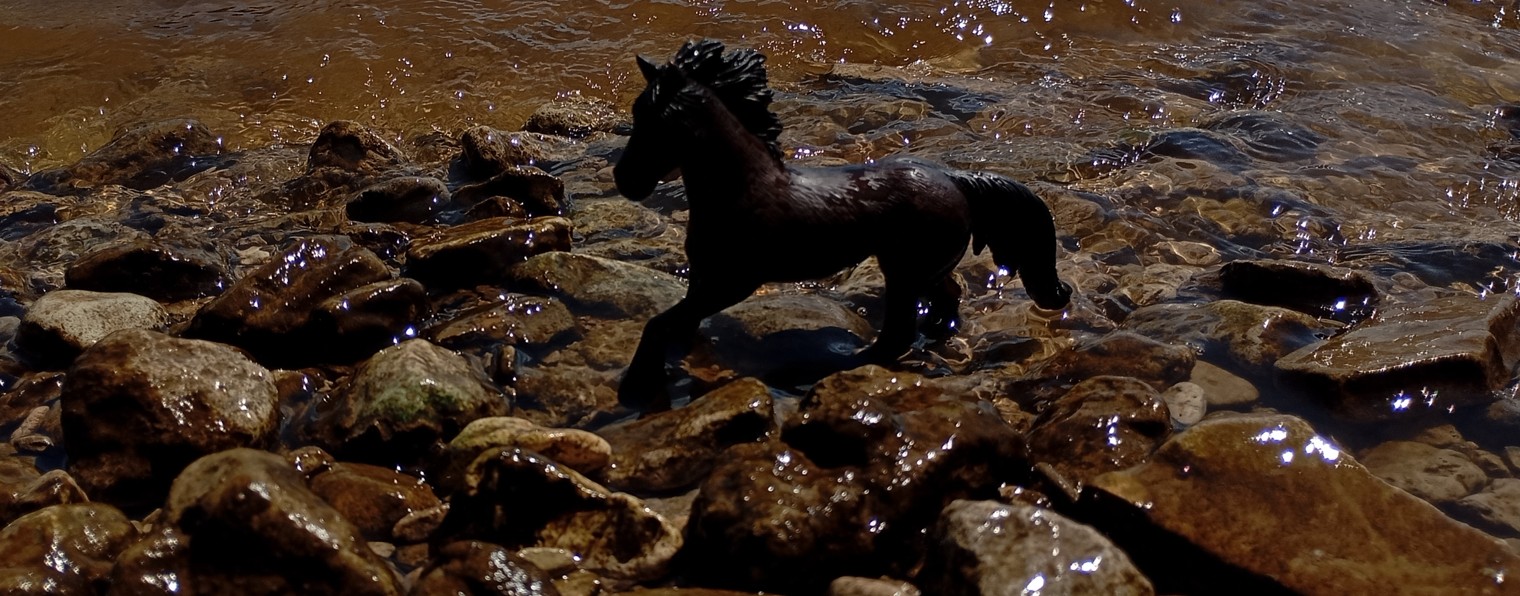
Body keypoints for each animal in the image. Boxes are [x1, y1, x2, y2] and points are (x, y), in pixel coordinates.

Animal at [614, 39, 1073, 411]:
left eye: (656, 122)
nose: (624, 180)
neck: (743, 190)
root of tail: (956, 180)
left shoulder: (733, 281)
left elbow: (660, 323)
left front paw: (636, 387)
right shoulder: (704, 278)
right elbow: (679, 321)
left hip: (903, 271)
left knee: (898, 333)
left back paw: (840, 366)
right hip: (922, 268)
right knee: (948, 297)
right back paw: (935, 335)